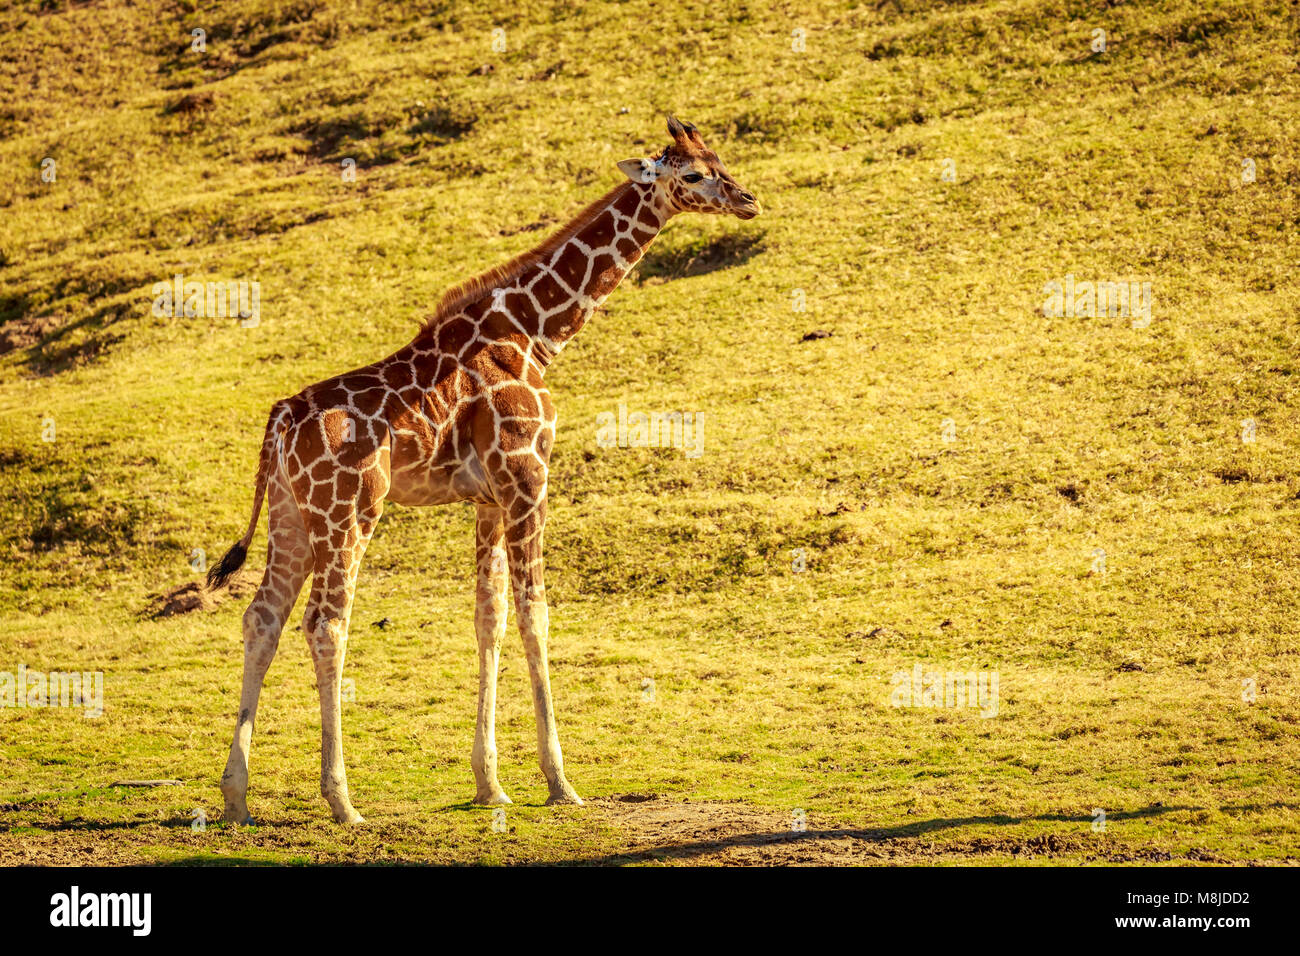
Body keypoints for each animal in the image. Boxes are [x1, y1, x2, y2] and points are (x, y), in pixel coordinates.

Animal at [206, 116, 761, 824]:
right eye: (692, 173)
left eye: (720, 160)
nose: (747, 199)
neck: (536, 333)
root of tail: (276, 424)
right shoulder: (529, 478)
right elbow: (535, 616)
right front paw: (560, 782)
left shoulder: (488, 498)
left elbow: (487, 619)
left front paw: (490, 783)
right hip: (348, 510)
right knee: (325, 624)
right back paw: (342, 800)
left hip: (291, 515)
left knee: (263, 618)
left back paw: (236, 797)